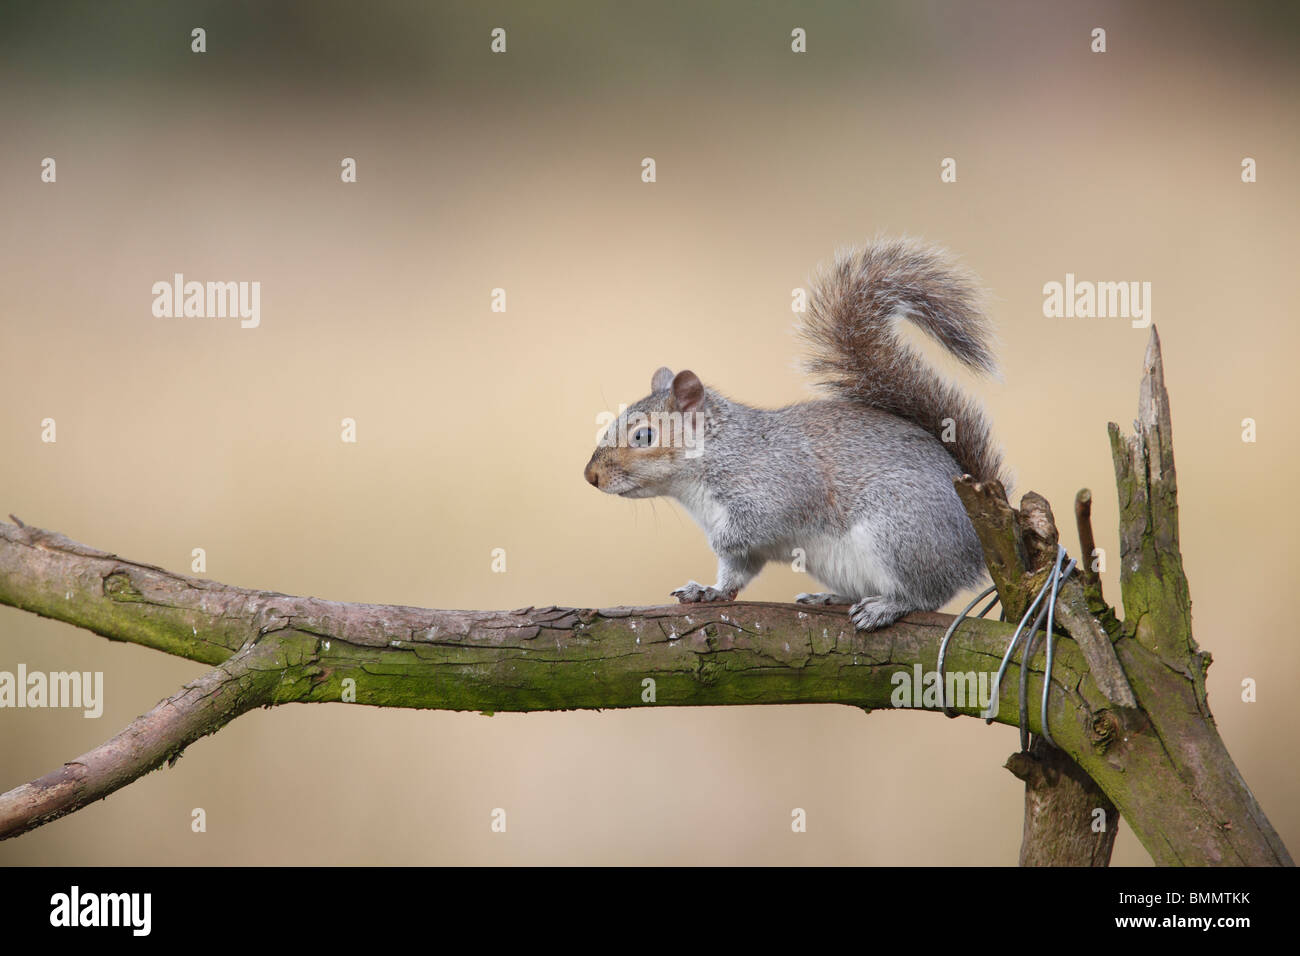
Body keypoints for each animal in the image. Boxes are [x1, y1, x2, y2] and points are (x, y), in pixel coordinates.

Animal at [583, 237, 1005, 632]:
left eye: (643, 436)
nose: (591, 476)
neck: (714, 457)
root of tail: (976, 548)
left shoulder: (782, 484)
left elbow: (759, 523)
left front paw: (718, 545)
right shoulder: (744, 551)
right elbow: (734, 574)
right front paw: (708, 590)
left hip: (899, 528)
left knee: (926, 593)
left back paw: (886, 606)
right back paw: (832, 597)